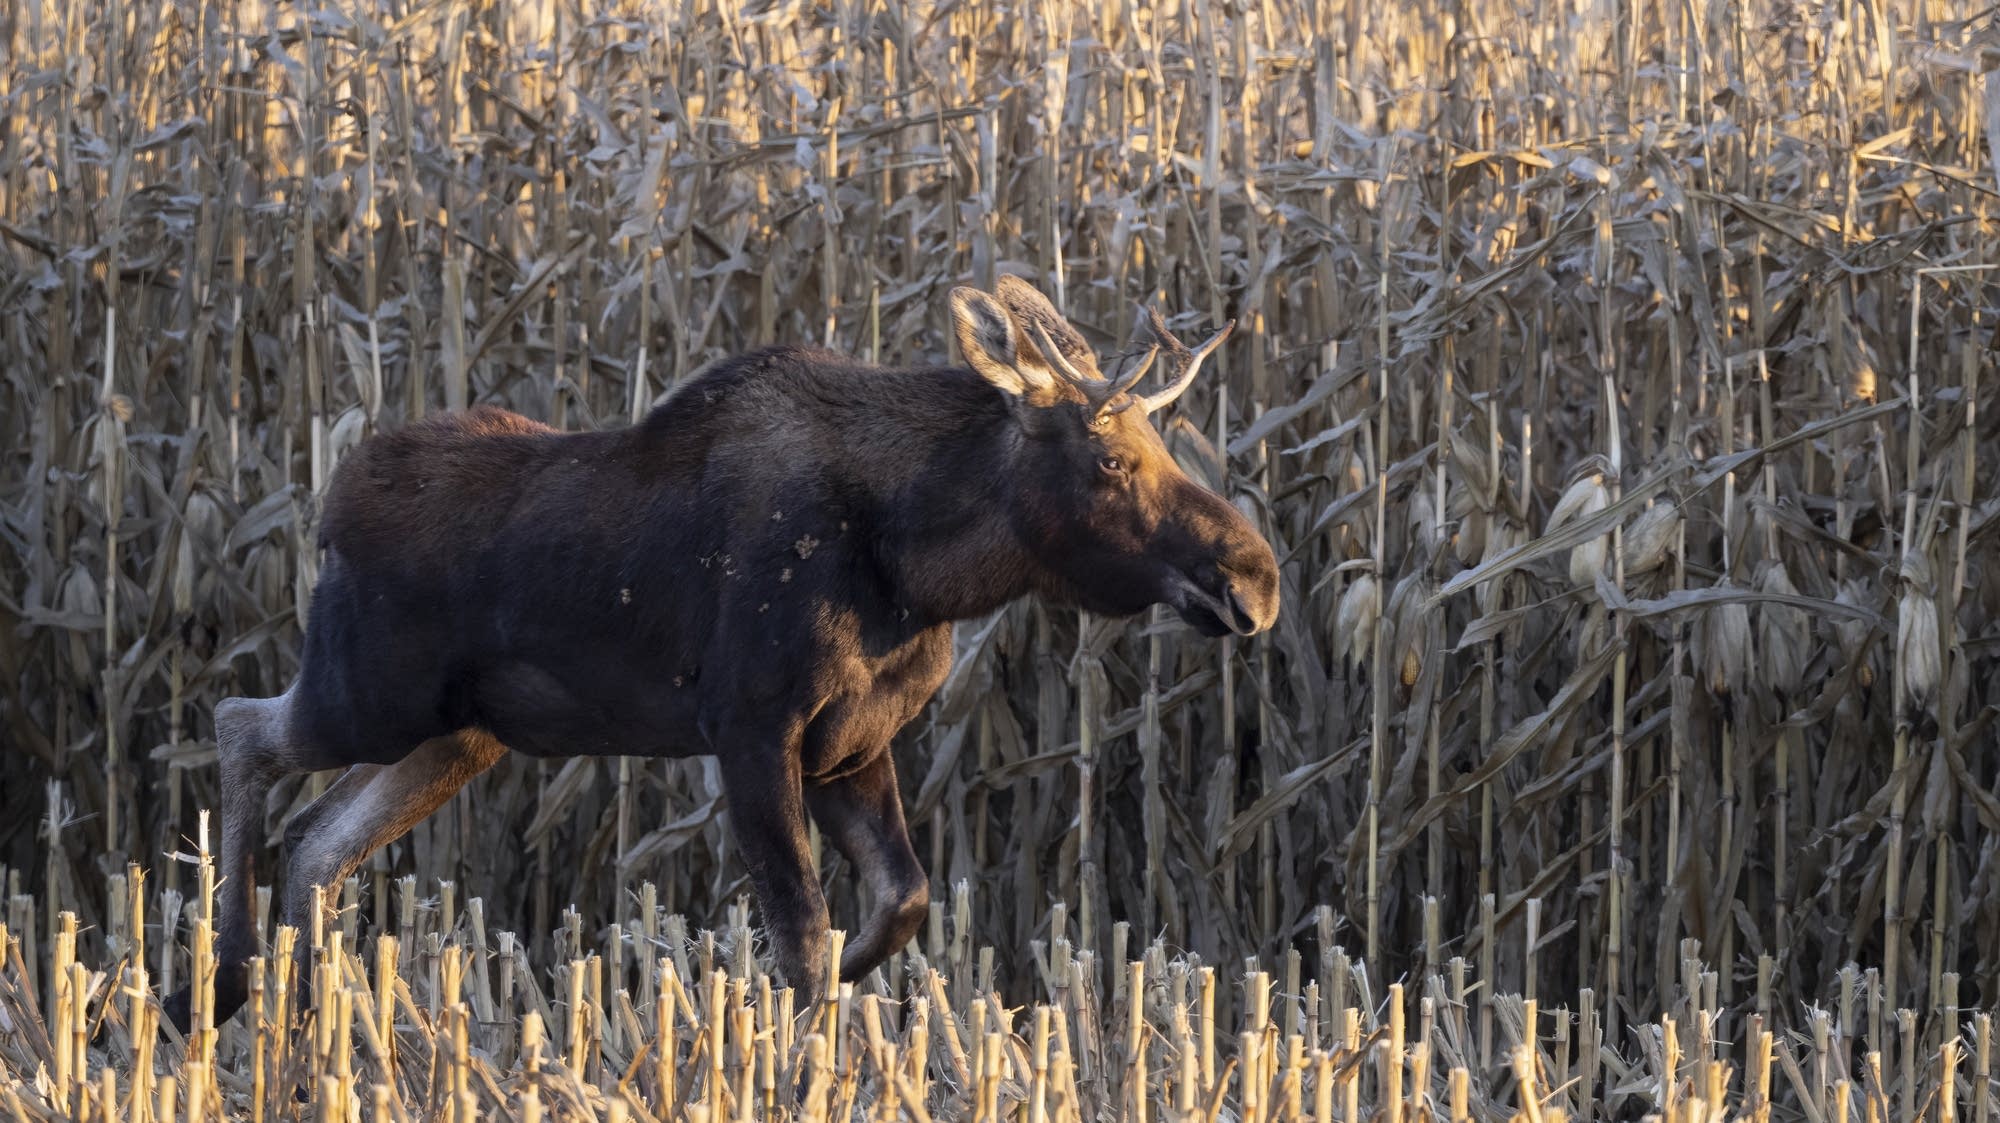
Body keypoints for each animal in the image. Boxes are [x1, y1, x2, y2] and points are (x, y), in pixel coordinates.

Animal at [162, 274, 1280, 1033]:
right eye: (1110, 458)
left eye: (1166, 443)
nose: (1256, 578)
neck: (918, 565)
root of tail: (327, 507)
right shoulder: (749, 727)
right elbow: (802, 928)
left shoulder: (851, 745)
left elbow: (900, 901)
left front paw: (822, 996)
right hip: (367, 692)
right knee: (241, 727)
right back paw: (219, 986)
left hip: (462, 735)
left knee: (318, 839)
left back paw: (307, 1019)